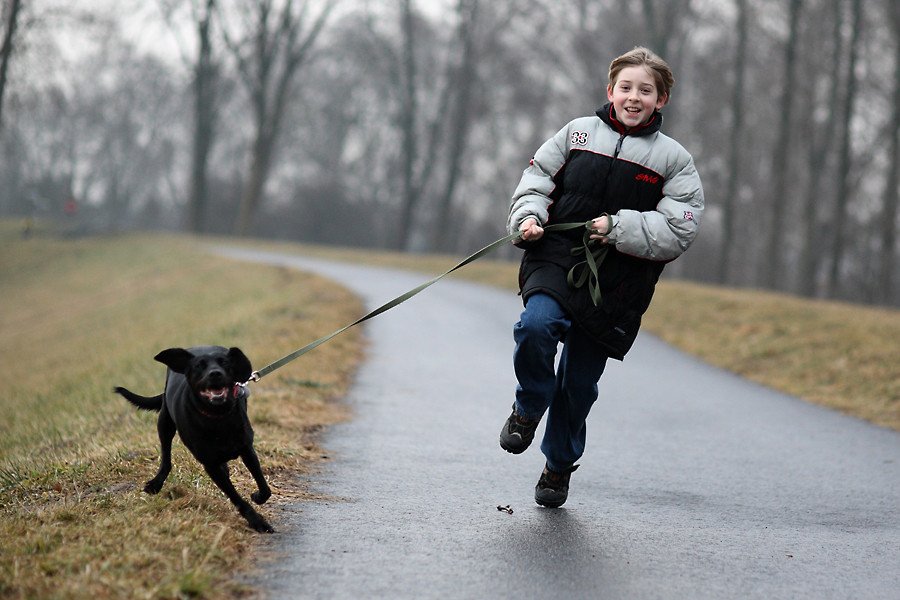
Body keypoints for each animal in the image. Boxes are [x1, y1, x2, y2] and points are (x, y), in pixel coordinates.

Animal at [114, 344, 272, 532]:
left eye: (225, 362)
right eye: (198, 366)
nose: (215, 373)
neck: (217, 418)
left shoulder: (246, 448)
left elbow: (264, 486)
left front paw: (257, 497)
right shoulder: (210, 464)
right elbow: (235, 497)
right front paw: (257, 521)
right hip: (164, 422)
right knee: (166, 458)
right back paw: (156, 483)